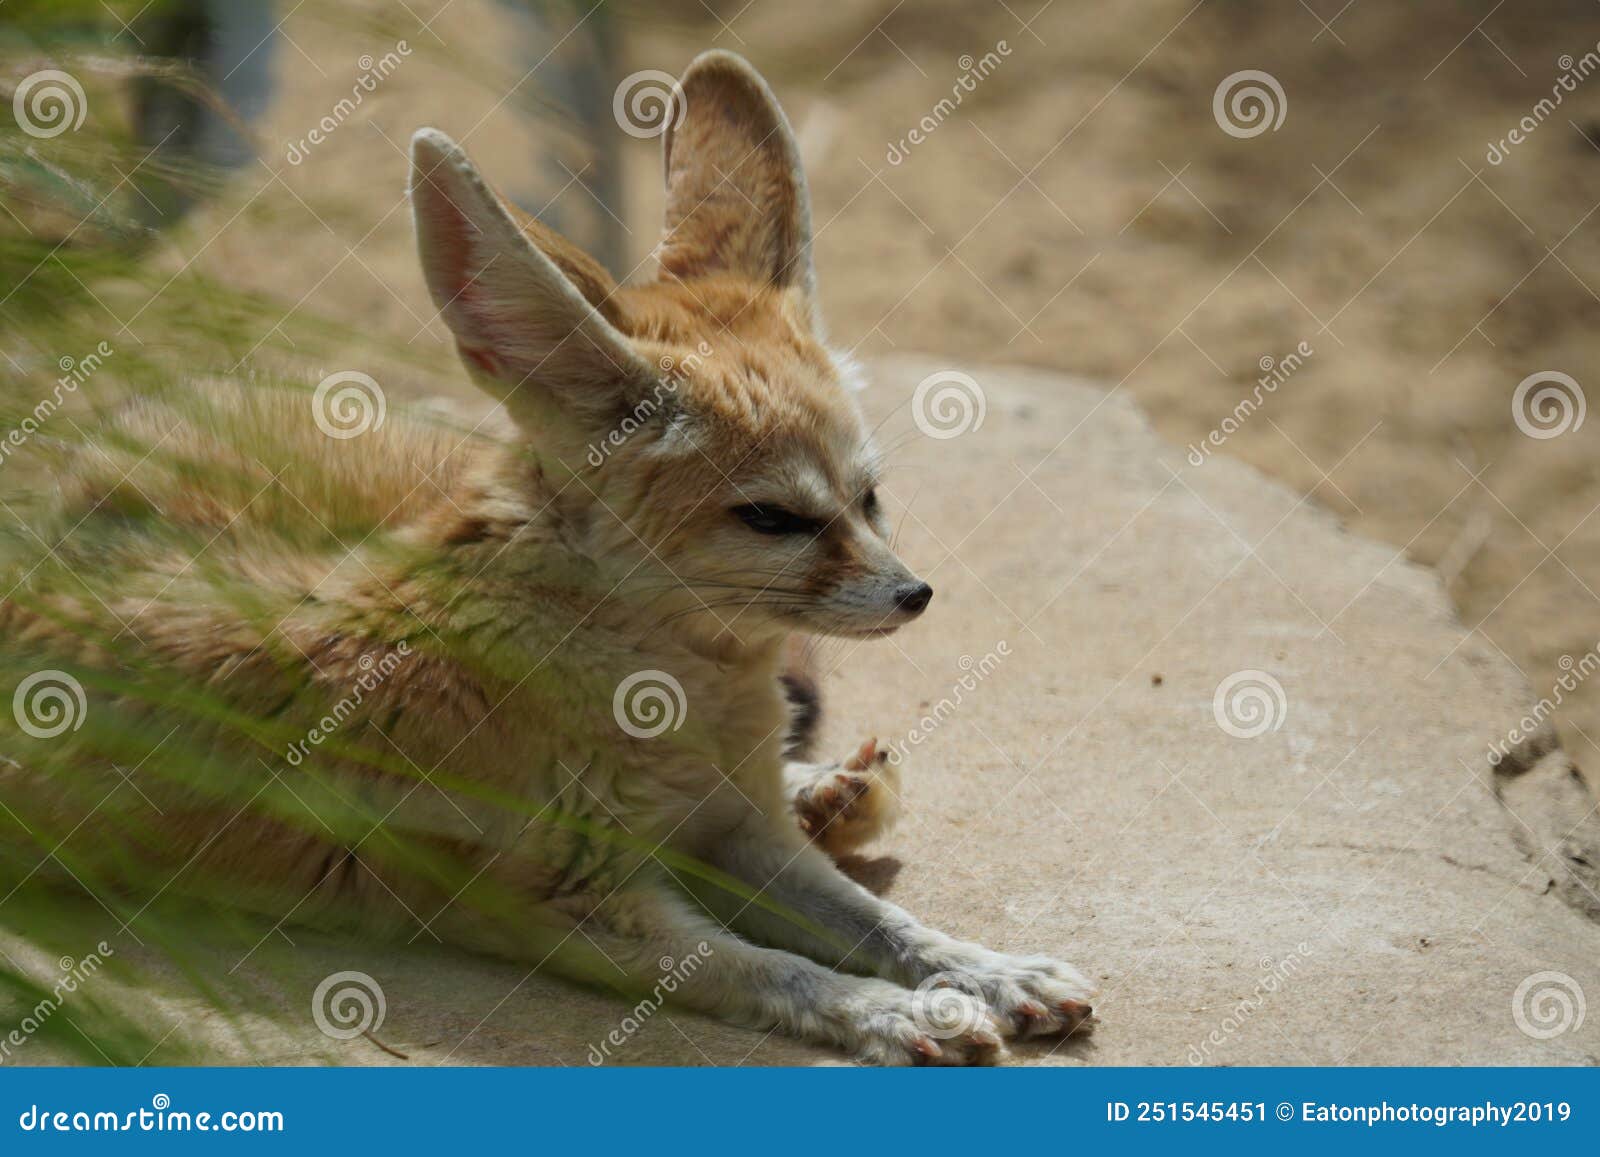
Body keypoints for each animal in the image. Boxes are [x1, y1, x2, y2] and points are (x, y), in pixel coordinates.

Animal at [0, 50, 1093, 1064]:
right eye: (773, 518)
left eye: (870, 497)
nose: (915, 594)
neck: (679, 700)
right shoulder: (570, 902)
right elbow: (771, 967)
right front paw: (897, 1010)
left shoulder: (740, 829)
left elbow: (880, 920)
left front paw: (985, 968)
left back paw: (826, 786)